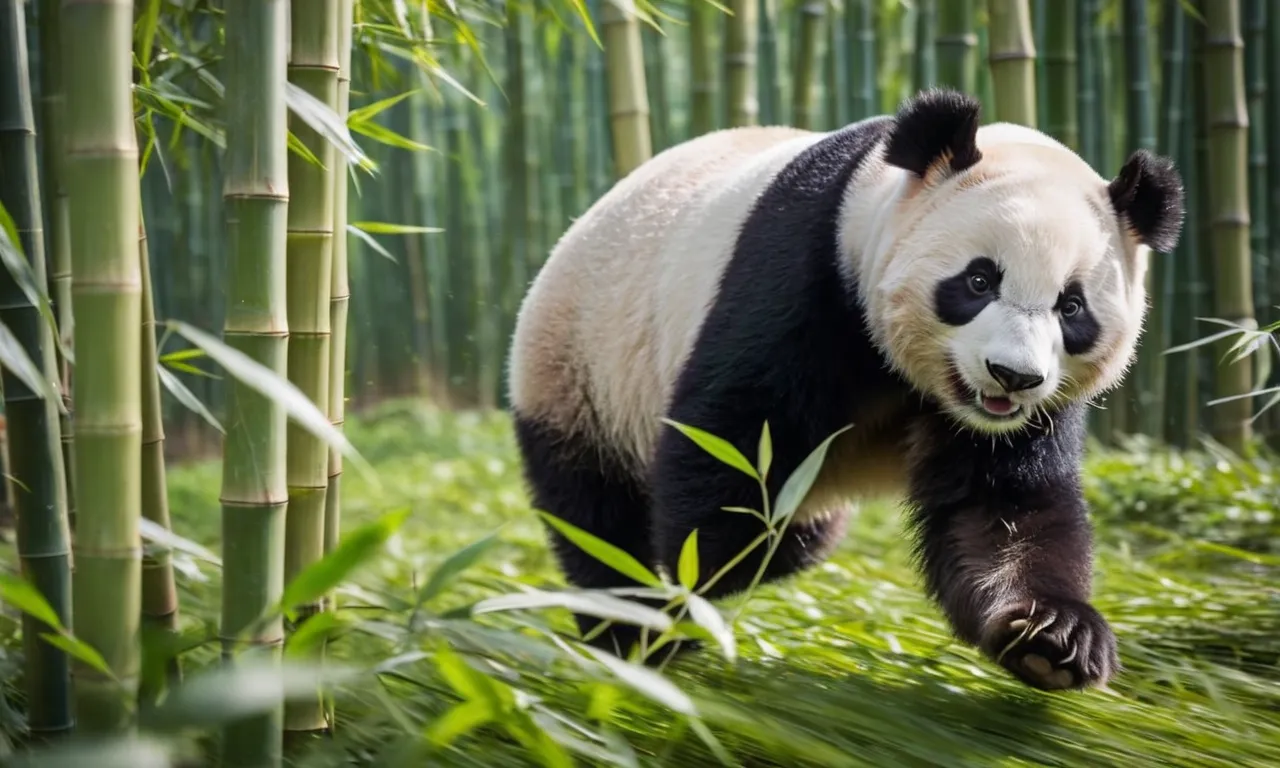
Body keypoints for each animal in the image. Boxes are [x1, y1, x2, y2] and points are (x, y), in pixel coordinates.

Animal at [506, 89, 1184, 692]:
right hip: (581, 369)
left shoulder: (1030, 413)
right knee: (597, 516)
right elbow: (736, 443)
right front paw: (703, 583)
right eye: (978, 280)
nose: (1012, 376)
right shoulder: (805, 275)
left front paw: (1053, 640)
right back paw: (633, 626)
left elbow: (1004, 505)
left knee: (804, 535)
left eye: (1071, 307)